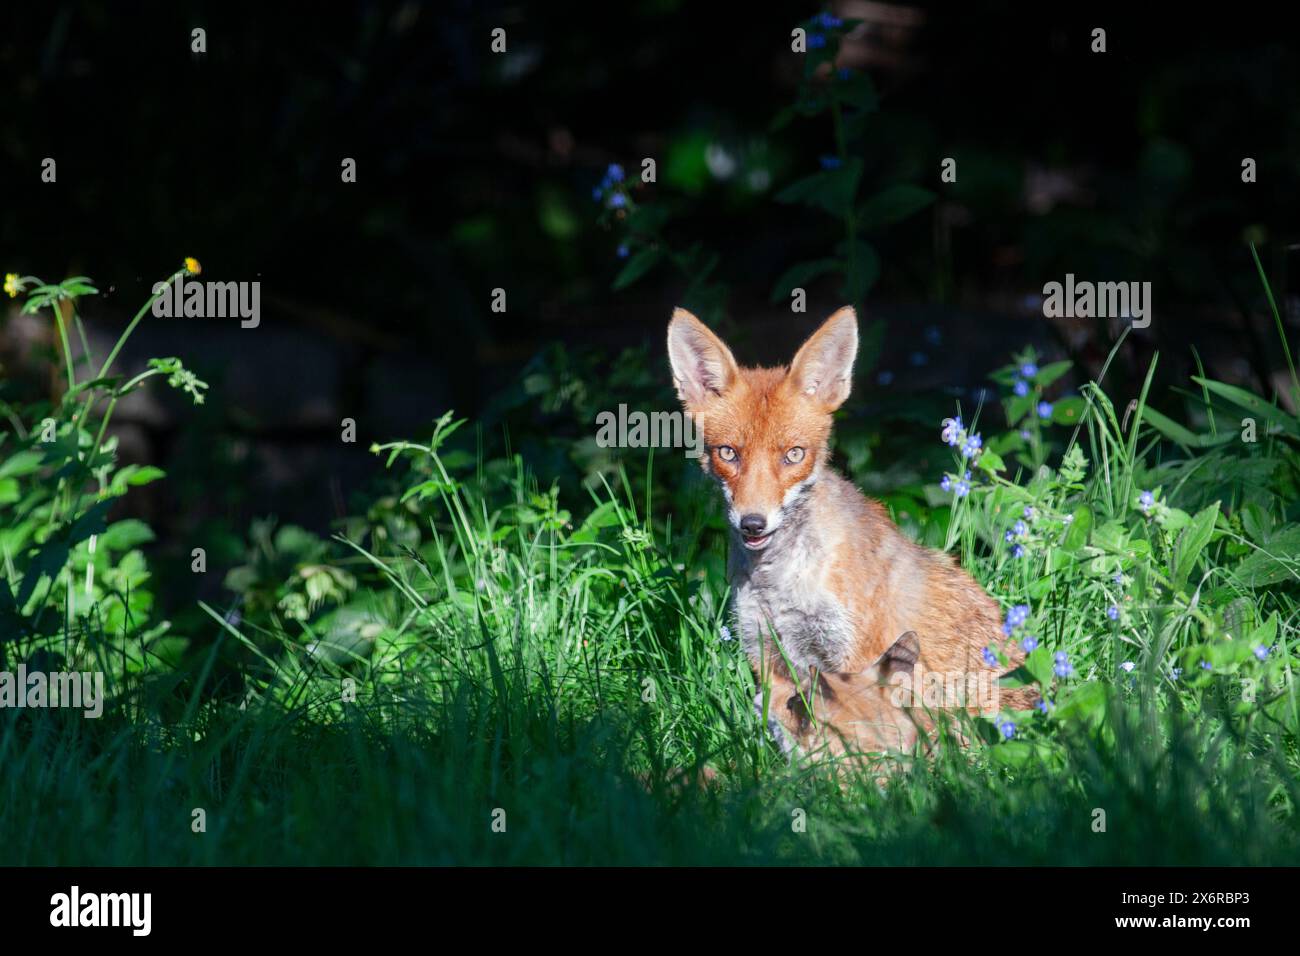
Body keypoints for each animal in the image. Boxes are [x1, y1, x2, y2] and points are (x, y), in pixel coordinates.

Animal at [667, 305, 1036, 764]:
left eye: (794, 455)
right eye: (728, 453)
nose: (753, 523)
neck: (781, 587)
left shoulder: (855, 654)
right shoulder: (766, 653)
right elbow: (778, 720)